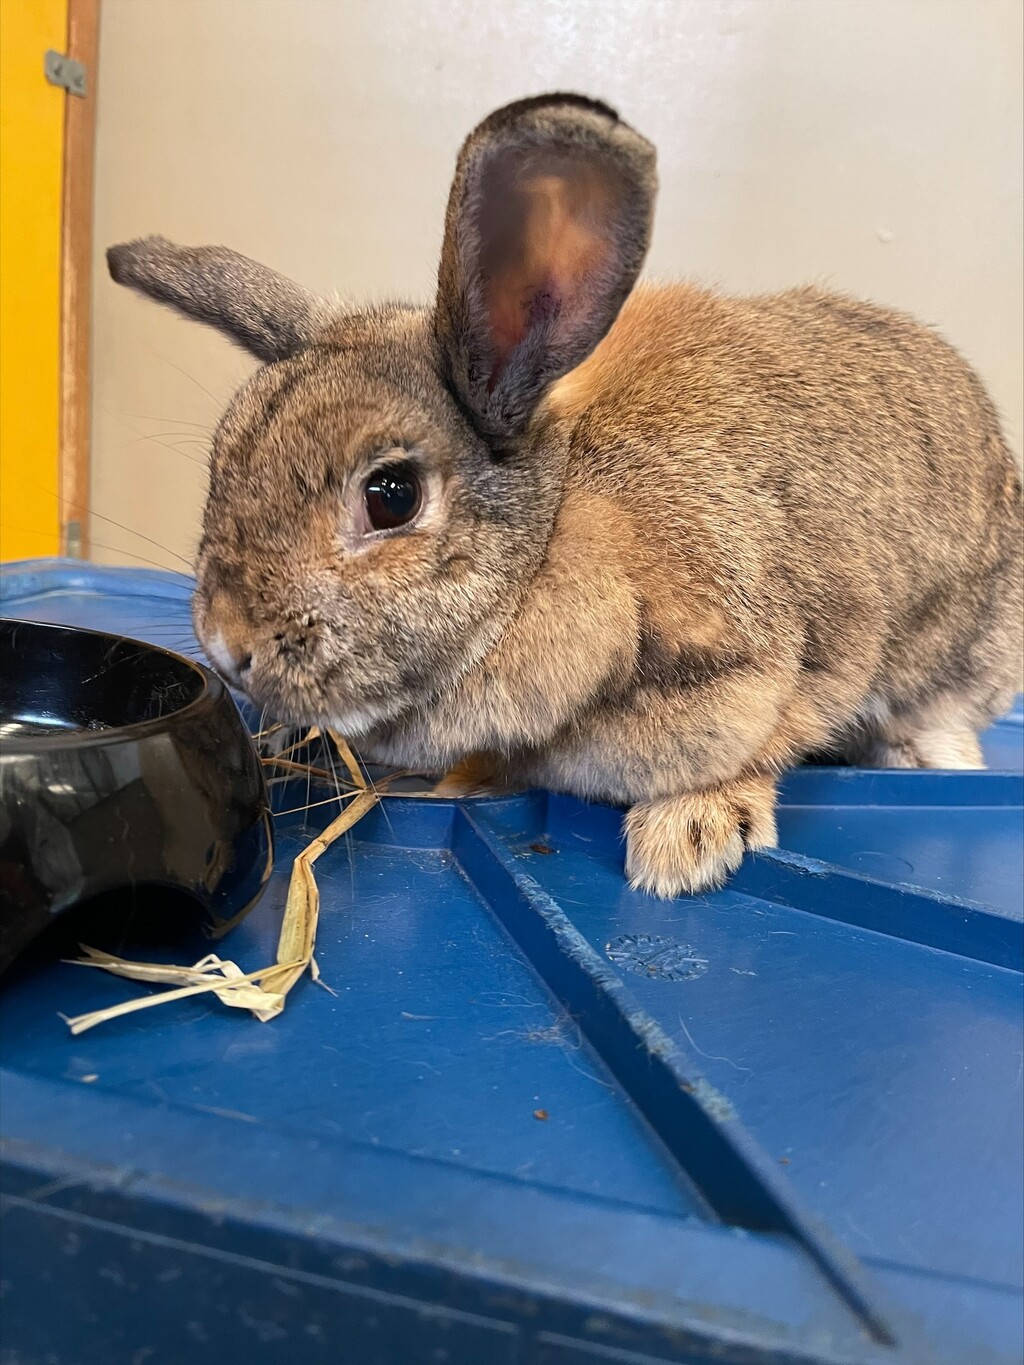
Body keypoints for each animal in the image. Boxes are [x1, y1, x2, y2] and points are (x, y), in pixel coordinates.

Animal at [107, 93, 1023, 897]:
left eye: (391, 495)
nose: (225, 642)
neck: (549, 538)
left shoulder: (805, 646)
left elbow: (768, 739)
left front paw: (685, 843)